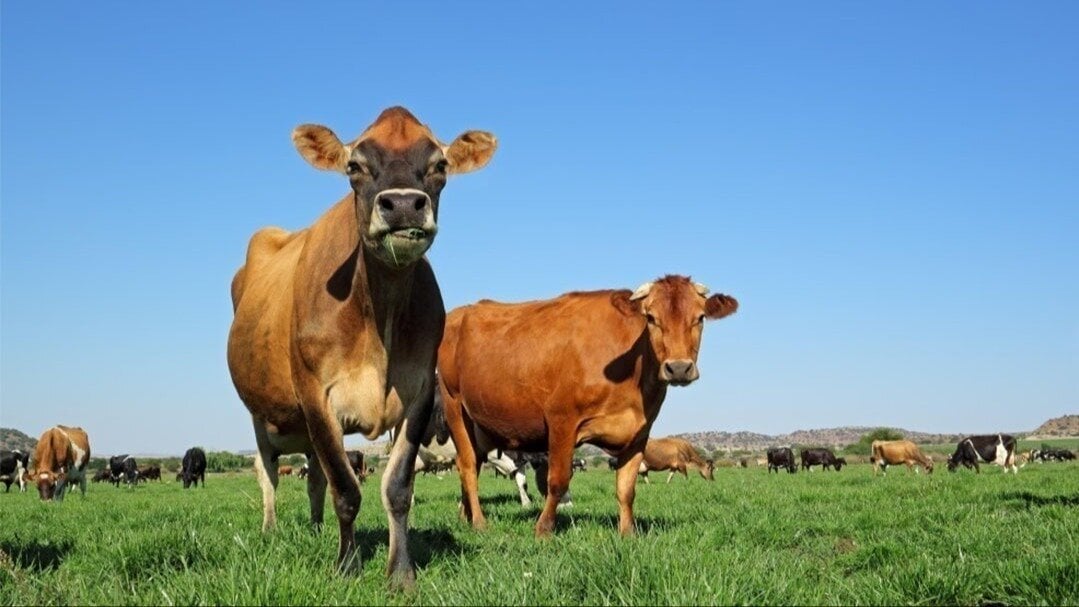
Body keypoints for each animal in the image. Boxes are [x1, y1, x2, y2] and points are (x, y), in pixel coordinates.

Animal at [226, 106, 497, 584]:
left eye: (440, 165)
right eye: (354, 166)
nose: (403, 204)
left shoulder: (419, 393)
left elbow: (398, 487)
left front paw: (400, 573)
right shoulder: (315, 395)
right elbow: (346, 490)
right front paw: (348, 565)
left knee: (314, 477)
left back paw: (316, 530)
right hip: (262, 414)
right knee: (269, 474)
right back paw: (271, 530)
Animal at [438, 274, 738, 537]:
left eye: (700, 318)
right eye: (651, 318)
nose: (678, 368)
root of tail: (458, 314)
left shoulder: (639, 434)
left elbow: (626, 488)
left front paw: (628, 534)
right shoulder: (562, 421)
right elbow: (558, 481)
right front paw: (543, 530)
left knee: (473, 464)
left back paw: (465, 516)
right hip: (455, 406)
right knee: (467, 465)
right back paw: (479, 522)